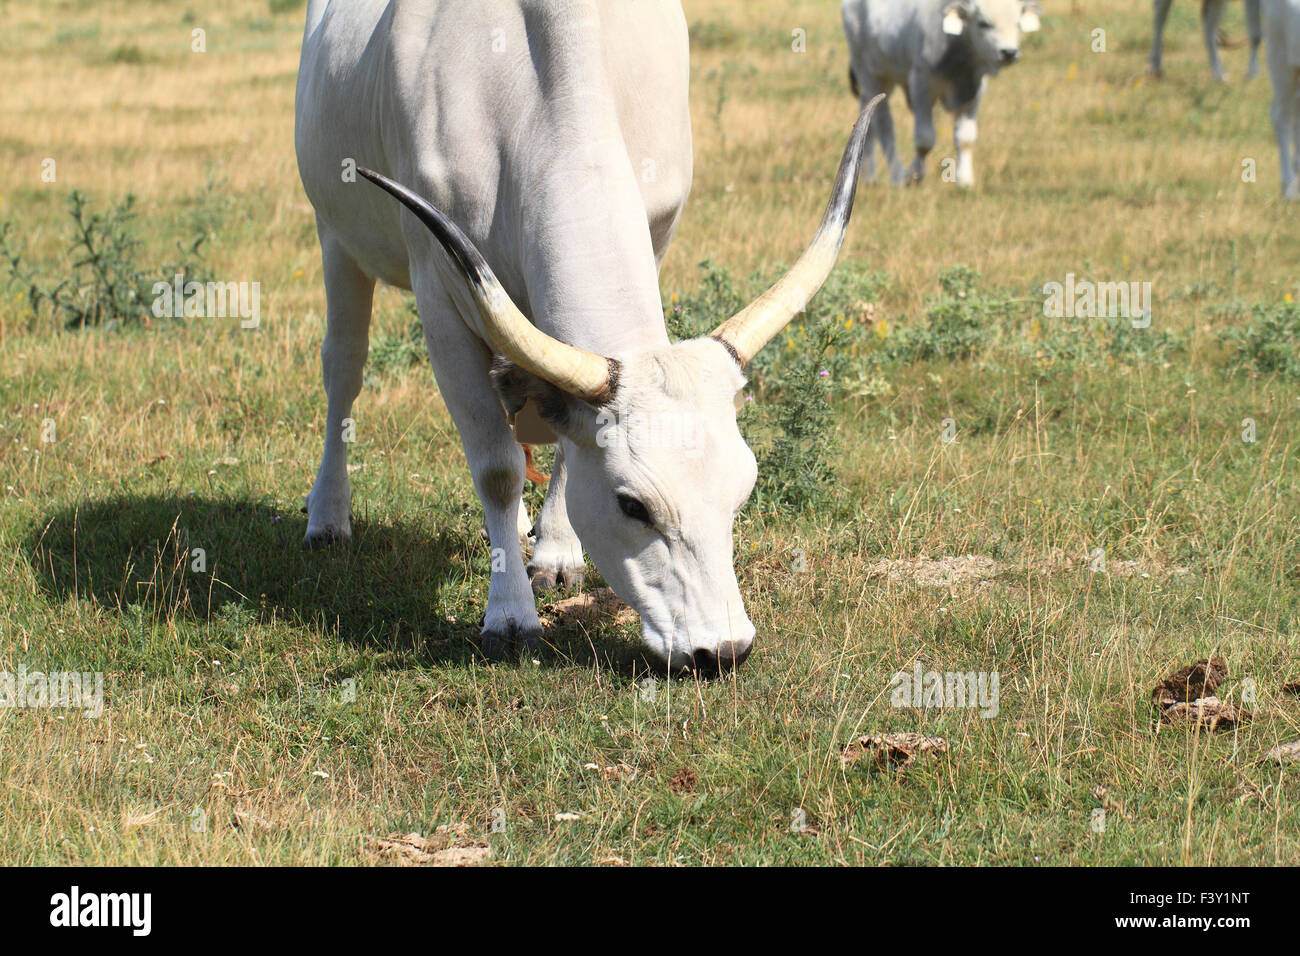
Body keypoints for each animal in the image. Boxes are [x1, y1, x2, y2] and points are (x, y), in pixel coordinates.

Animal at [294, 0, 883, 672]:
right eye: (633, 505)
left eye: (742, 493)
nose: (723, 649)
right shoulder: (437, 286)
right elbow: (495, 467)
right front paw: (510, 615)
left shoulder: (654, 237)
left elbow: (563, 441)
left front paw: (554, 553)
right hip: (335, 237)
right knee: (343, 368)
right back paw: (328, 515)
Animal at [842, 0, 1040, 188]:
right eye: (984, 23)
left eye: (1016, 23)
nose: (1009, 53)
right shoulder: (921, 85)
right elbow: (925, 139)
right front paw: (913, 176)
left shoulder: (975, 91)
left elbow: (965, 137)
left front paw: (965, 180)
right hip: (871, 74)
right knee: (885, 124)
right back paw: (896, 174)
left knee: (868, 116)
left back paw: (868, 176)